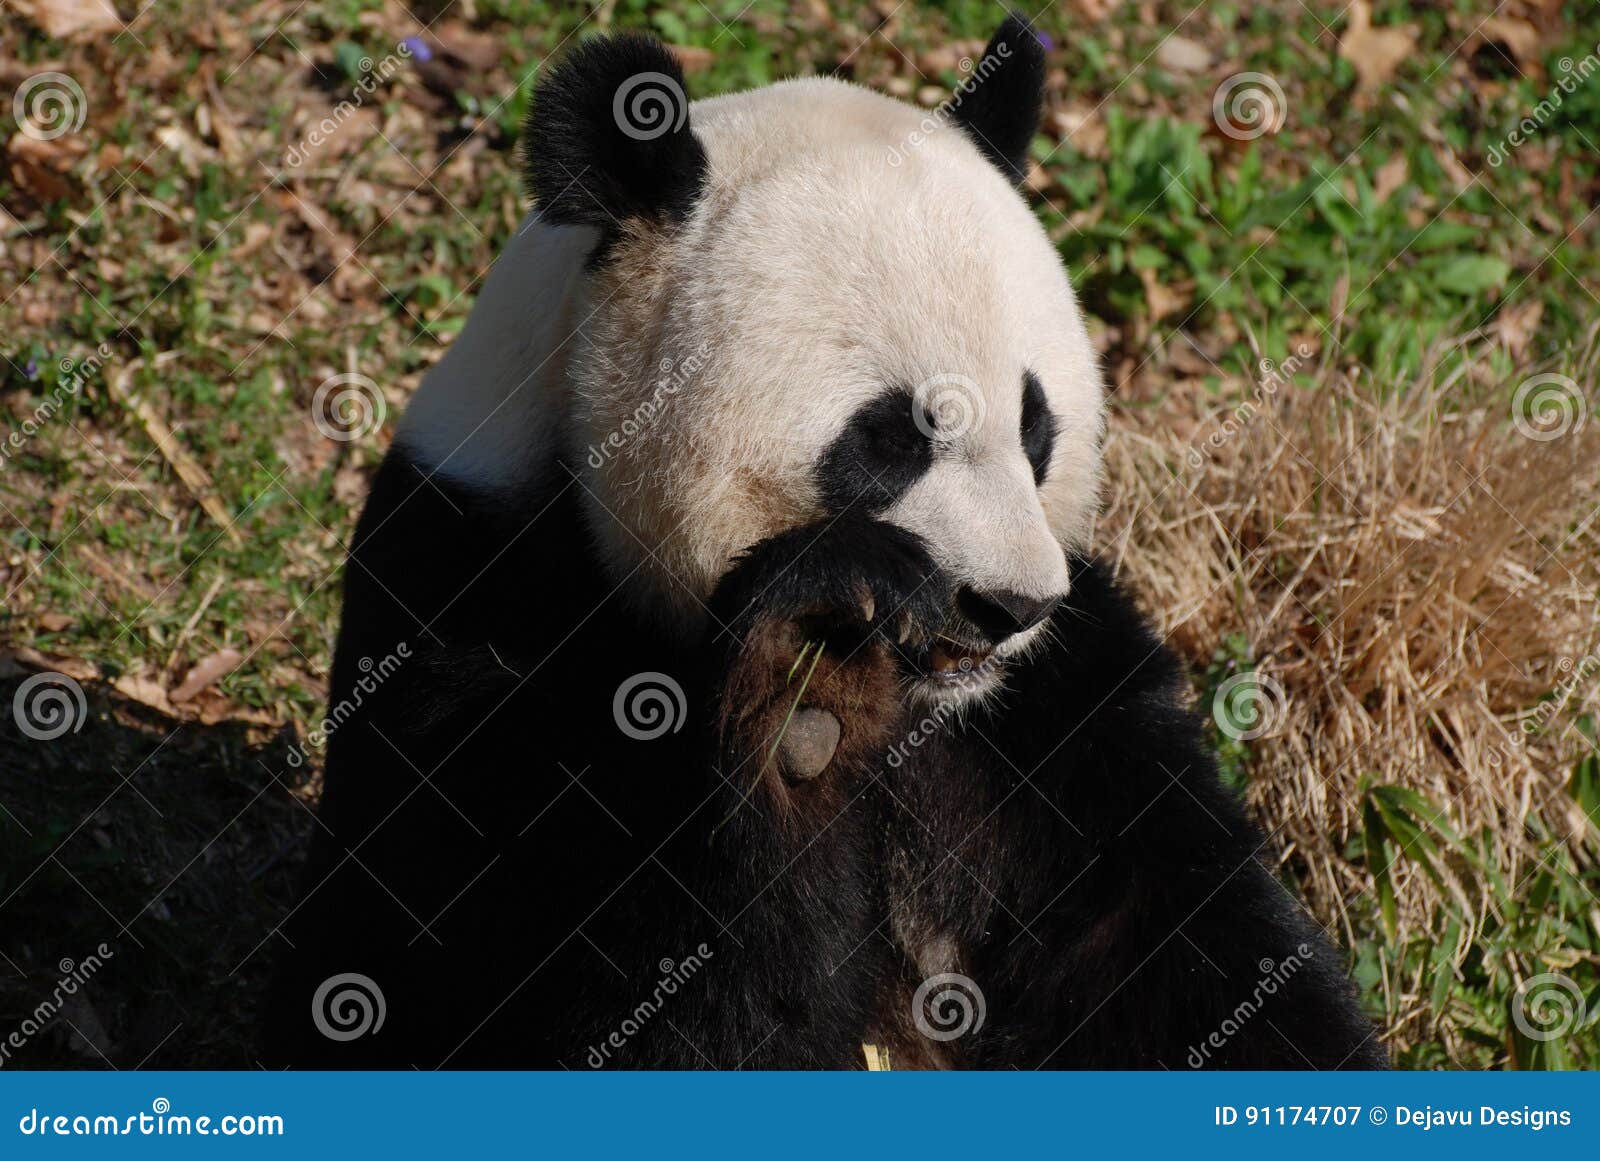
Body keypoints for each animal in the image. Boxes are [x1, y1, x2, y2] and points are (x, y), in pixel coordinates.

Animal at [266, 16, 1385, 1070]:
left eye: (1036, 426)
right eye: (892, 437)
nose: (1008, 607)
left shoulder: (1057, 712)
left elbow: (1179, 943)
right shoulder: (464, 599)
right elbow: (455, 989)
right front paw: (806, 696)